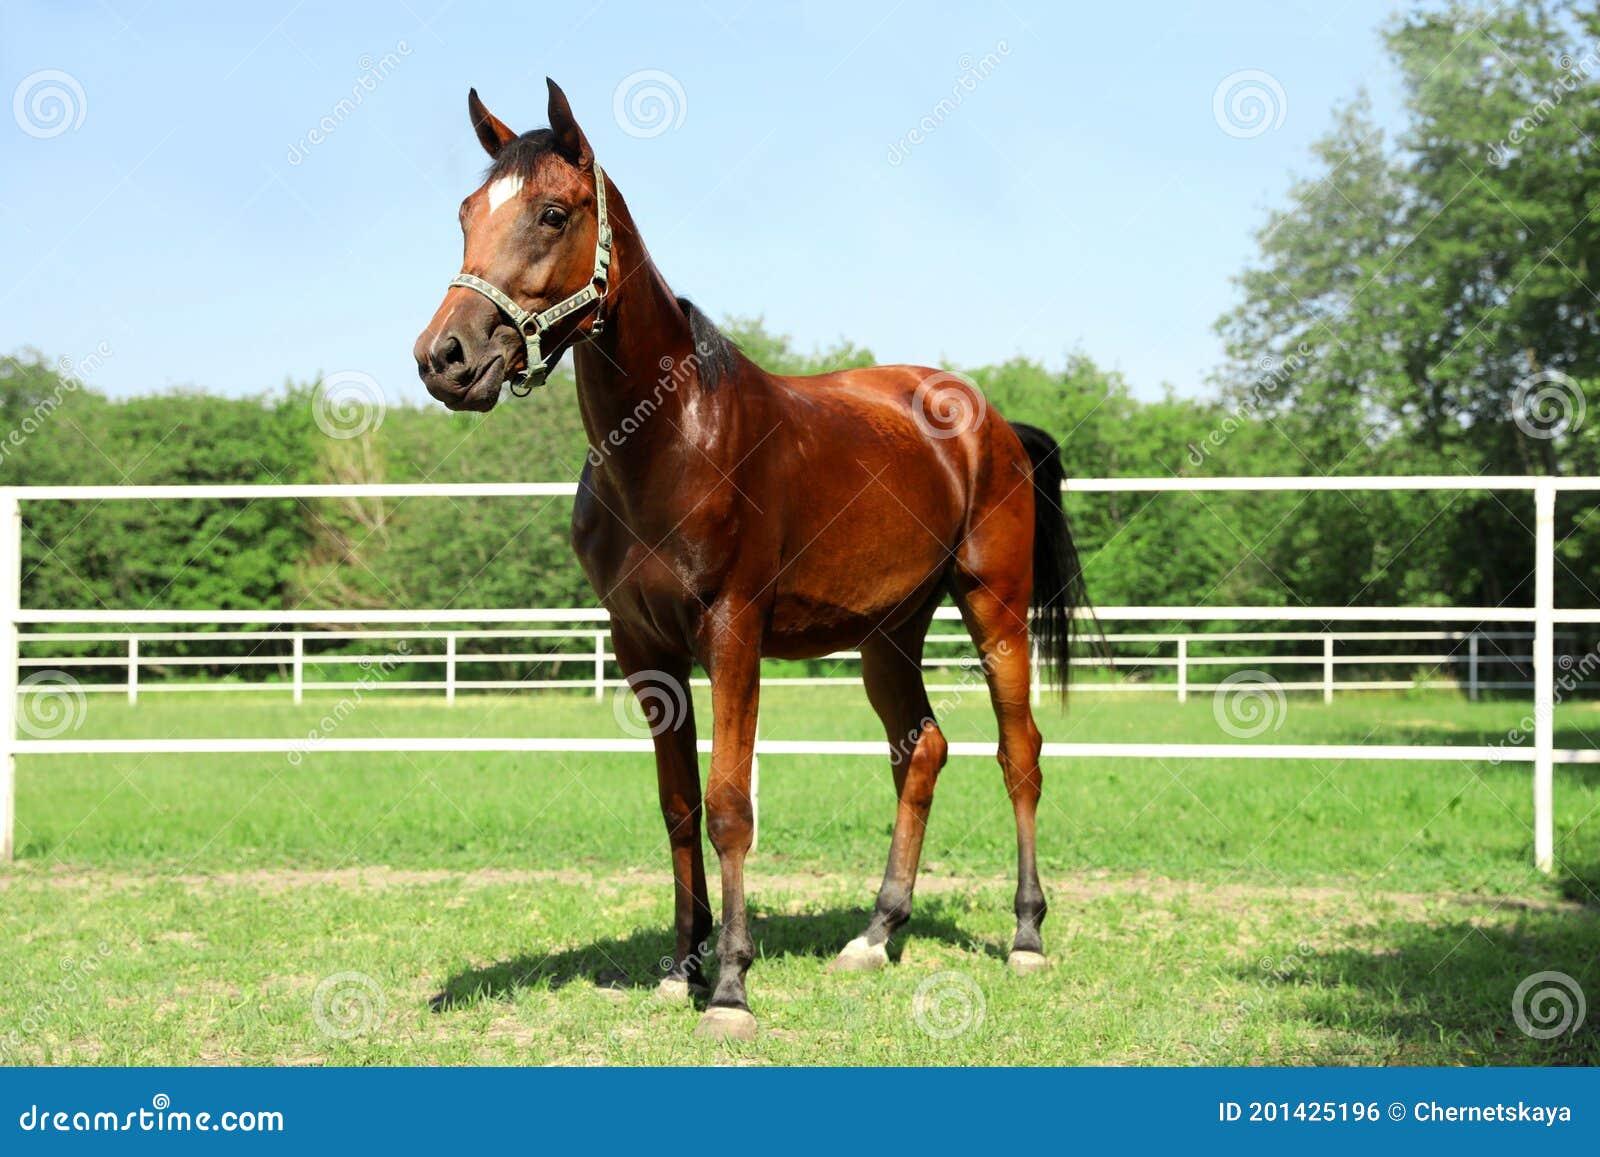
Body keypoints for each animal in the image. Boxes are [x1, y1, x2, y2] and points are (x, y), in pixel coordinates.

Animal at [414, 79, 1091, 1041]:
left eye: (552, 212)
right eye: (467, 212)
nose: (445, 357)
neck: (669, 437)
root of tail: (990, 421)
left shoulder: (732, 631)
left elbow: (732, 805)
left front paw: (730, 986)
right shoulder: (645, 647)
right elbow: (679, 806)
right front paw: (681, 967)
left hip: (993, 603)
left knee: (1019, 752)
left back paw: (1027, 934)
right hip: (888, 633)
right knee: (919, 750)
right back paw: (876, 933)